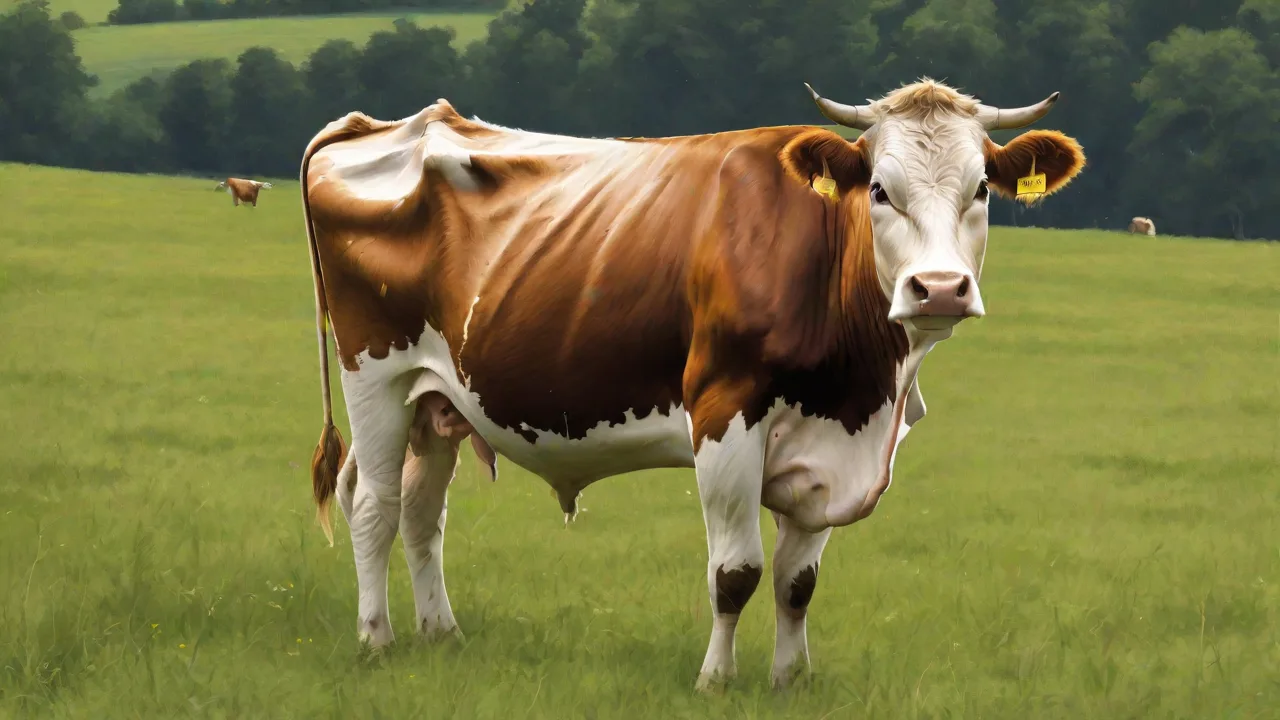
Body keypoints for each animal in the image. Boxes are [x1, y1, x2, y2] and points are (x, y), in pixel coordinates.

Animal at [298, 77, 1086, 692]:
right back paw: (377, 639)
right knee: (374, 505)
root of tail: (381, 125)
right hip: (376, 374)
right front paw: (716, 680)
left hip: (437, 399)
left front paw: (790, 680)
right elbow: (736, 570)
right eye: (879, 190)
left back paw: (442, 634)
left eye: (980, 188)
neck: (864, 391)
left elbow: (798, 582)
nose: (940, 289)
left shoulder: (825, 447)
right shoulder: (724, 413)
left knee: (422, 513)